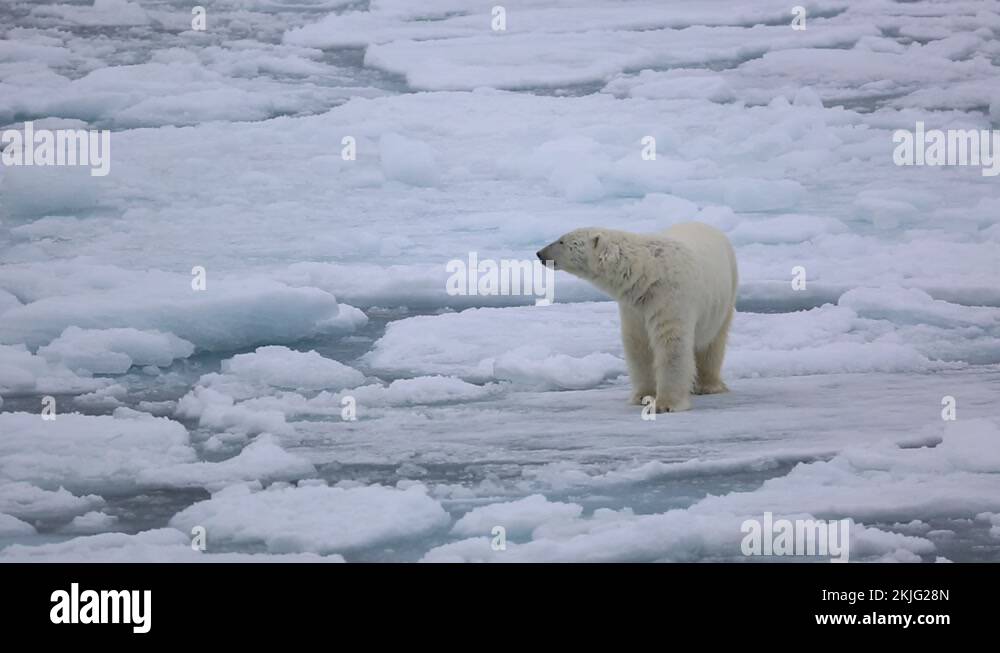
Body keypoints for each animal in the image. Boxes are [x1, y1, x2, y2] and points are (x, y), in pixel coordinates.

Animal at [537, 222, 737, 413]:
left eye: (562, 241)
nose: (540, 254)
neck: (648, 272)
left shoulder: (669, 297)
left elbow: (671, 344)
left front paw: (666, 404)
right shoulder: (634, 306)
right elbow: (638, 345)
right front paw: (643, 396)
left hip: (726, 293)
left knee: (713, 343)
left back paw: (708, 385)